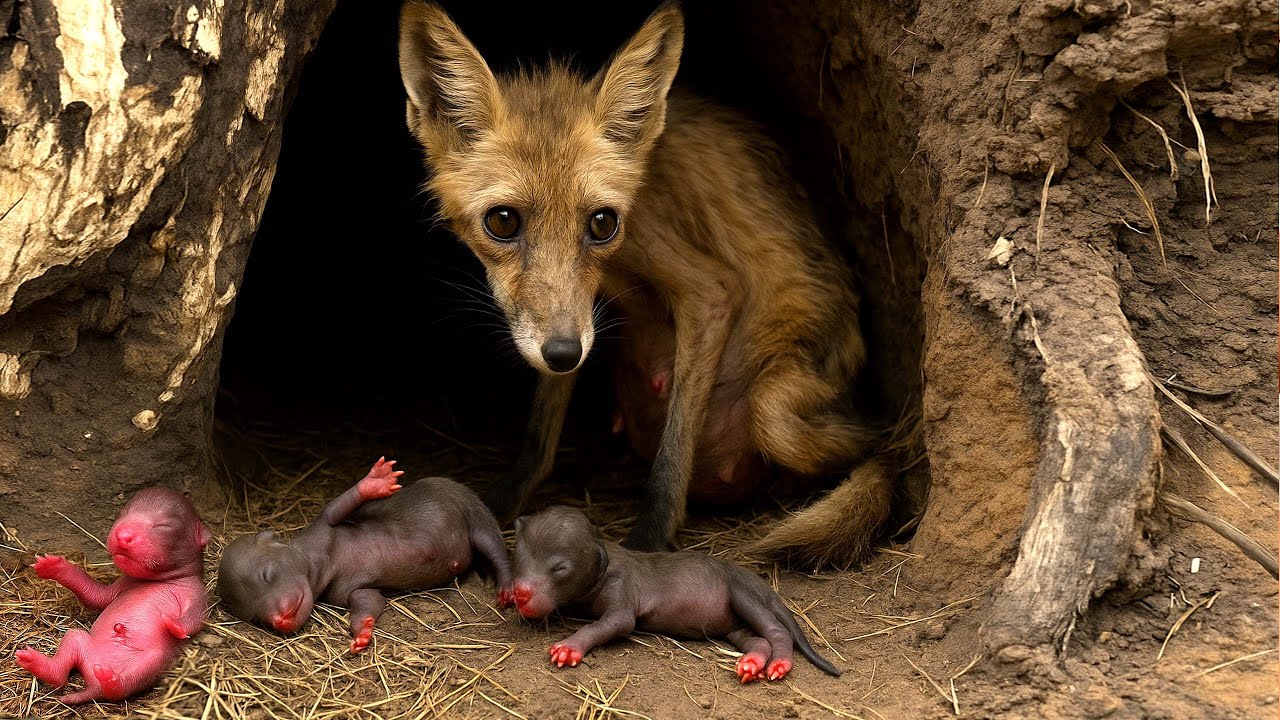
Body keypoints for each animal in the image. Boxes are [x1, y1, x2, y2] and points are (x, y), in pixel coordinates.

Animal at [397, 1, 892, 567]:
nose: (563, 355)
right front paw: (504, 497)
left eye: (603, 223)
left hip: (777, 413)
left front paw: (649, 544)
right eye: (502, 221)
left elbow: (672, 456)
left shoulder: (702, 285)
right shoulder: (571, 322)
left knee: (875, 447)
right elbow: (540, 434)